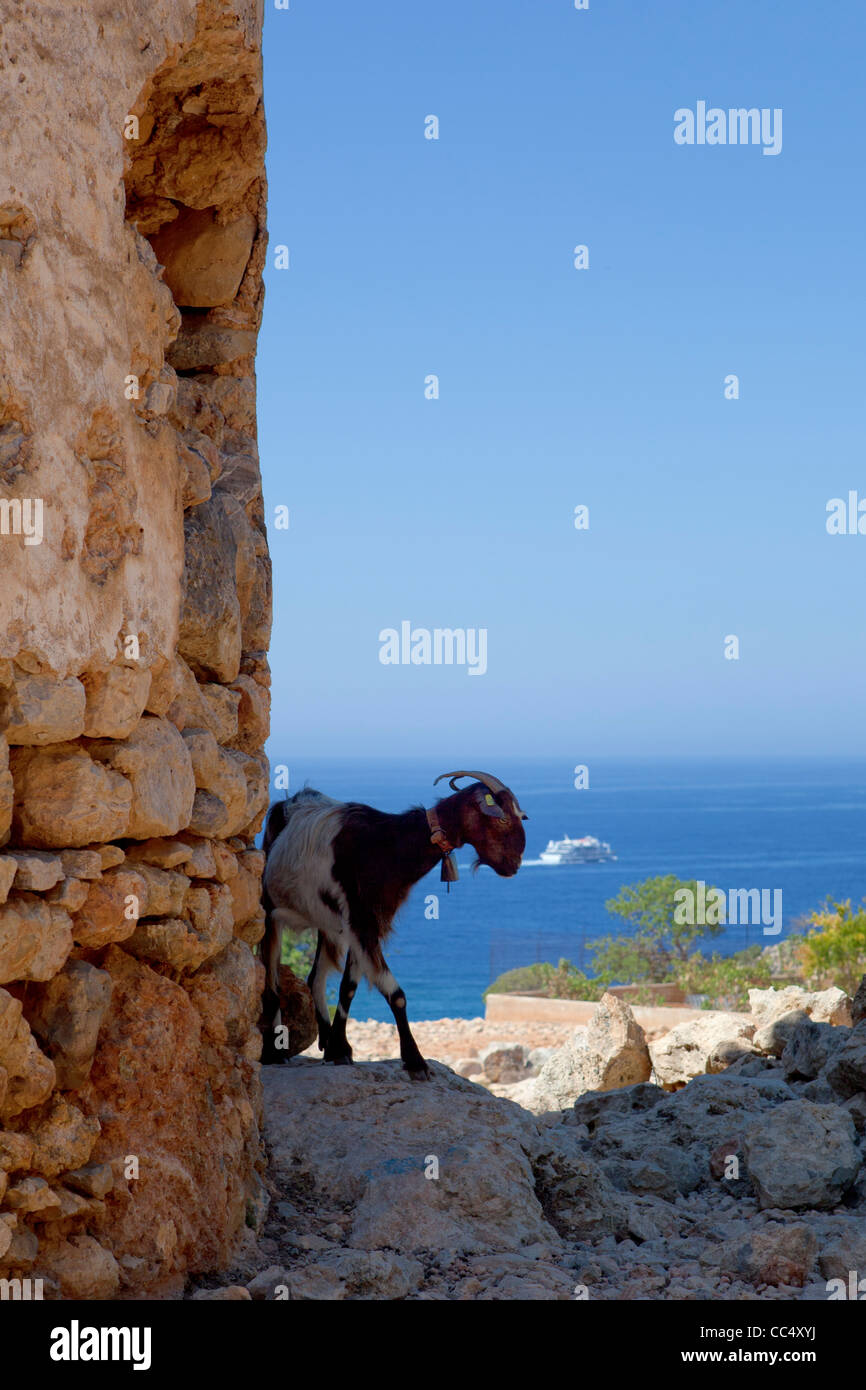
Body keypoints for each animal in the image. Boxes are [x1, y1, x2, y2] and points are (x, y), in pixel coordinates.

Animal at [258, 770, 527, 1080]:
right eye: (503, 819)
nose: (514, 864)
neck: (388, 845)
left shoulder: (363, 924)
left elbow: (348, 988)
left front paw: (339, 1050)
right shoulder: (361, 922)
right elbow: (395, 994)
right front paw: (415, 1061)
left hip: (327, 922)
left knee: (315, 977)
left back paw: (324, 1038)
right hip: (270, 911)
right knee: (271, 981)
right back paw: (274, 1052)